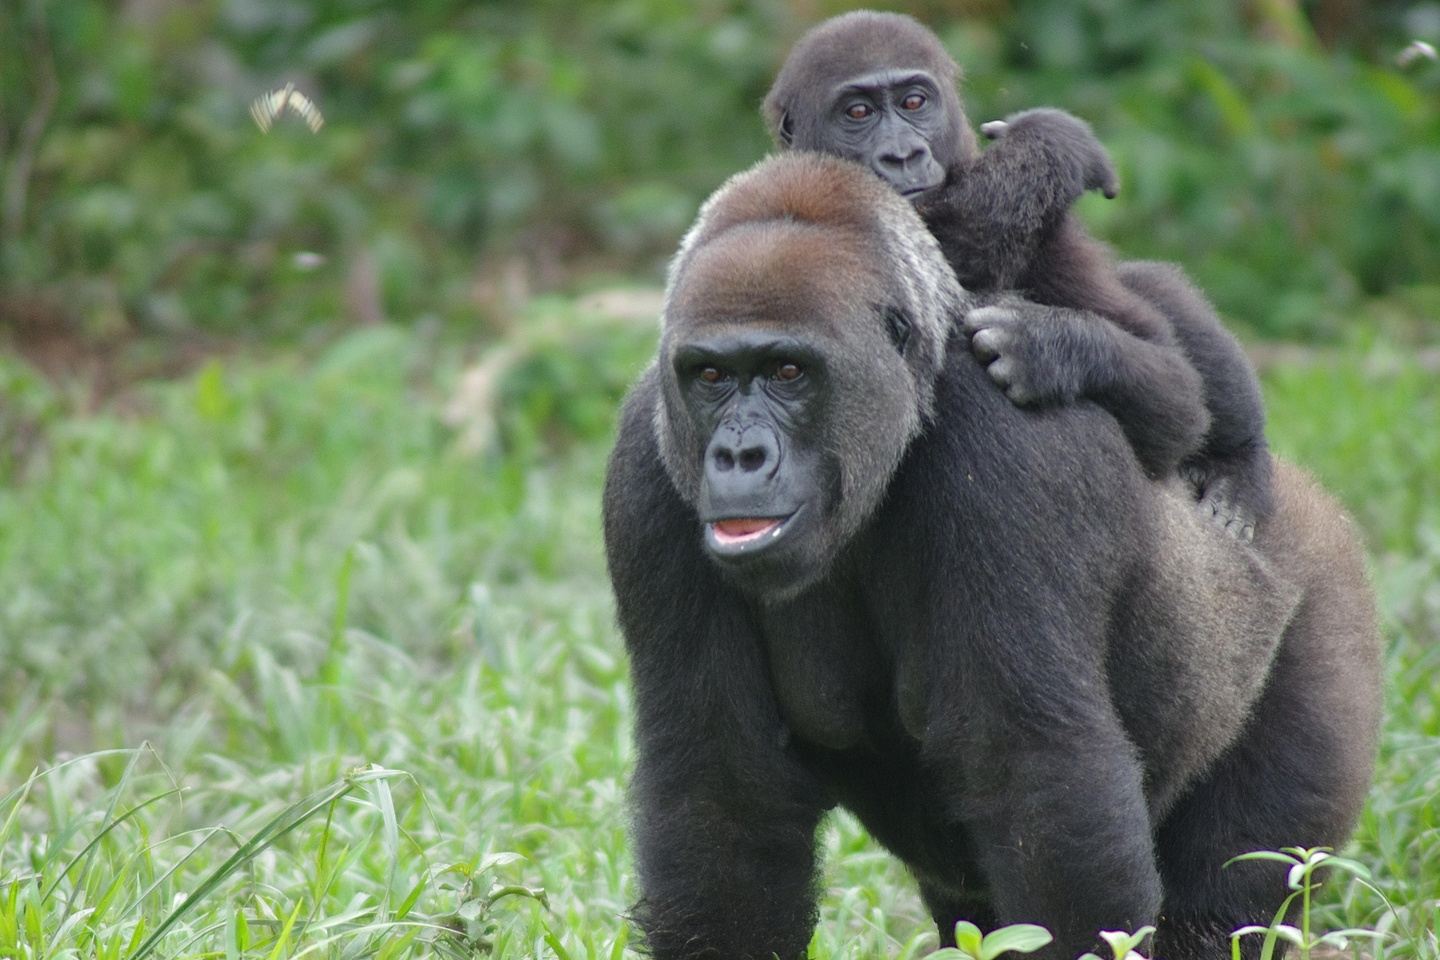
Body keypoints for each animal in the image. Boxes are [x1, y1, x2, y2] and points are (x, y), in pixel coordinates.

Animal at [604, 150, 1381, 960]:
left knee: (1235, 892)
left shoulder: (1004, 443)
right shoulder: (645, 465)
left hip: (1320, 603)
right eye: (711, 377)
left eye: (789, 372)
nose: (739, 455)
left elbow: (1040, 776)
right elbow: (721, 790)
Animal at [763, 10, 1272, 541]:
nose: (903, 154)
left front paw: (1048, 347)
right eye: (857, 113)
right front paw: (1053, 141)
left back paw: (1241, 465)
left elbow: (1175, 390)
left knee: (1157, 289)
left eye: (914, 102)